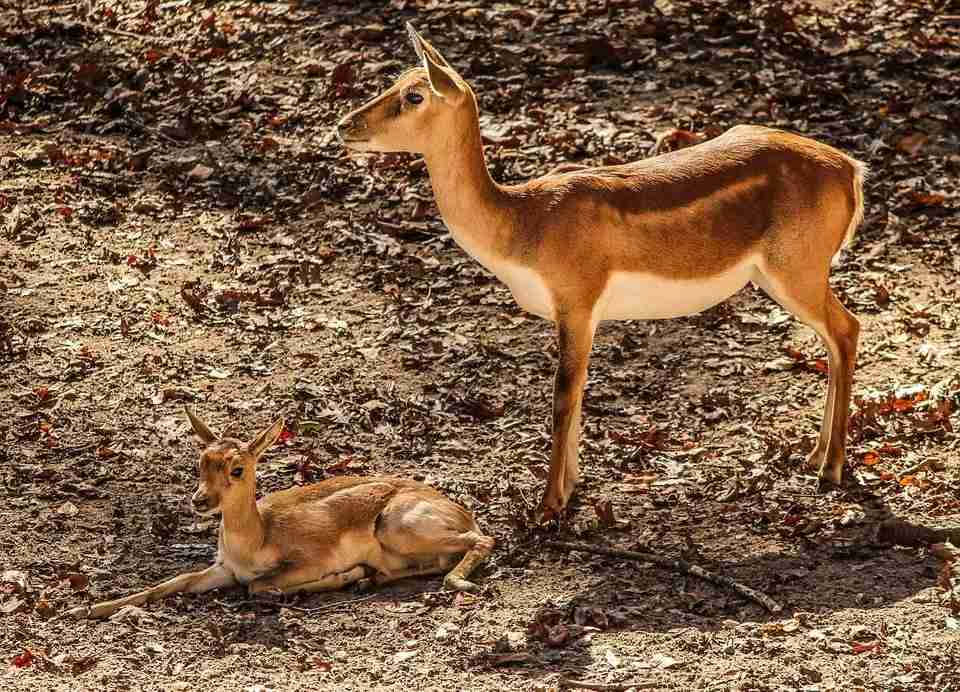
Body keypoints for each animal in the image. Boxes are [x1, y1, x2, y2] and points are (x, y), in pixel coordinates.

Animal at [65, 408, 496, 620]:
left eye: (237, 468)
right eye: (202, 460)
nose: (200, 501)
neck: (256, 539)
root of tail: (460, 510)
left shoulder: (304, 561)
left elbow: (259, 586)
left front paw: (340, 576)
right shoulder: (223, 569)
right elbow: (168, 583)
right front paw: (84, 608)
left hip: (399, 526)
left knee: (482, 540)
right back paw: (368, 578)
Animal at [340, 23, 872, 520]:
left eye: (415, 95)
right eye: (394, 80)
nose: (345, 124)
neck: (524, 226)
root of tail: (851, 170)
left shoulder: (577, 299)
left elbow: (562, 396)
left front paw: (548, 506)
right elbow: (578, 394)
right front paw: (571, 489)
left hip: (796, 269)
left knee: (847, 328)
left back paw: (831, 468)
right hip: (779, 275)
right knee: (834, 338)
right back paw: (814, 457)